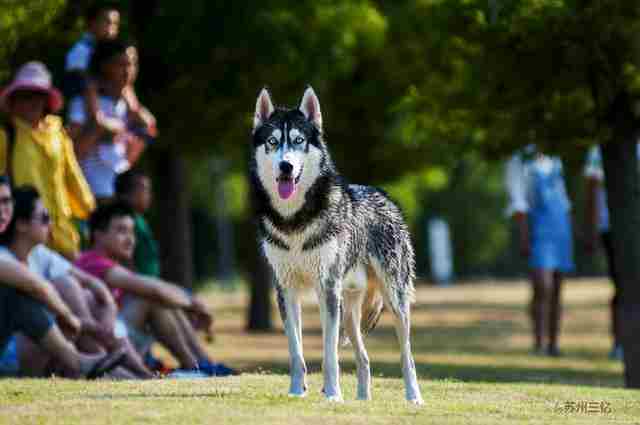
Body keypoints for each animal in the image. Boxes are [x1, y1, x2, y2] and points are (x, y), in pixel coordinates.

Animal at [251, 87, 424, 404]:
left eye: (299, 141)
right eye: (272, 142)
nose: (286, 166)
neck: (294, 220)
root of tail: (386, 196)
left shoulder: (327, 289)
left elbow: (329, 354)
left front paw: (332, 394)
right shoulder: (286, 290)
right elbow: (296, 352)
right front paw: (297, 392)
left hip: (394, 301)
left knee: (407, 356)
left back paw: (414, 398)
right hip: (350, 314)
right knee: (364, 359)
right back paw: (363, 400)